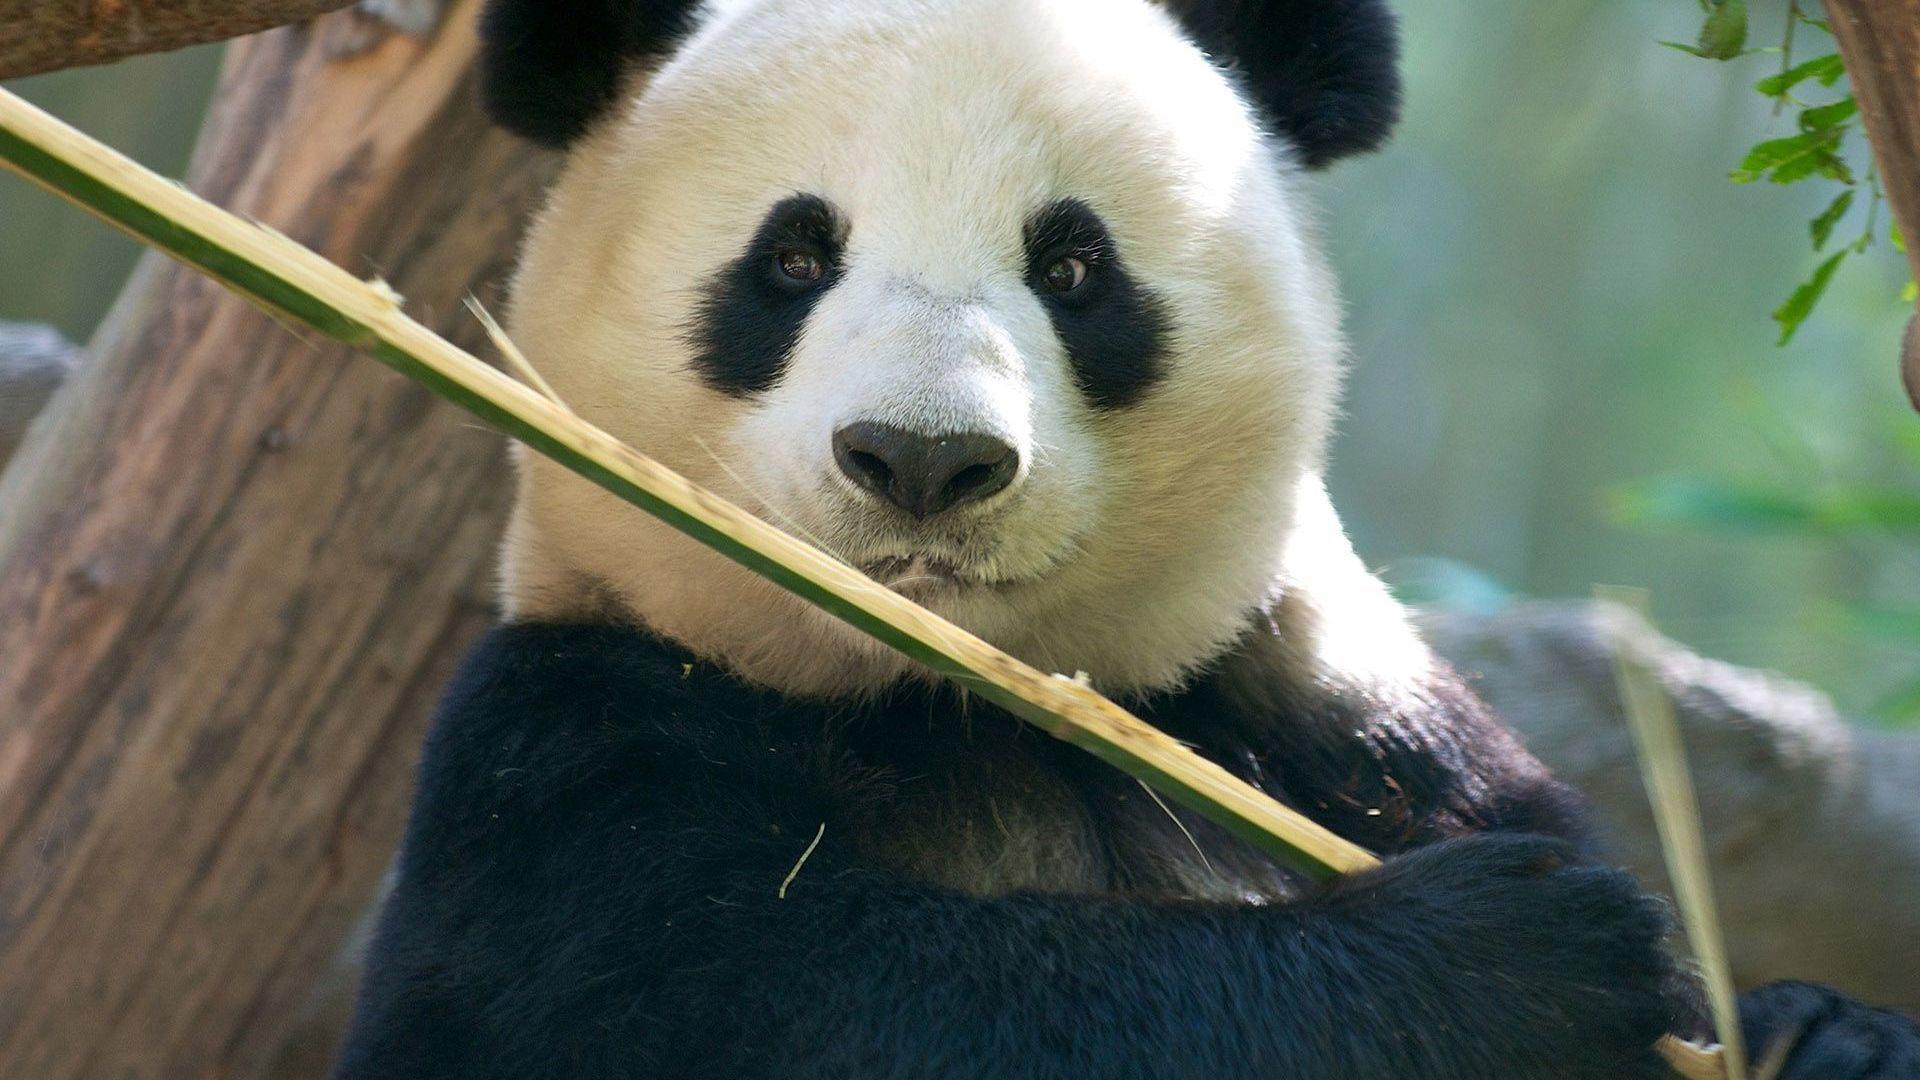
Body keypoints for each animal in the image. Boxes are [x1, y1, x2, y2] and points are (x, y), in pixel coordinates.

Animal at [335, 0, 1920, 1076]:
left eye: (1074, 265)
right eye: (791, 256)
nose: (923, 460)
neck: (960, 696)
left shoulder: (1329, 718)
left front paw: (1824, 1032)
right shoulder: (566, 759)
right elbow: (823, 1003)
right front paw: (1503, 971)